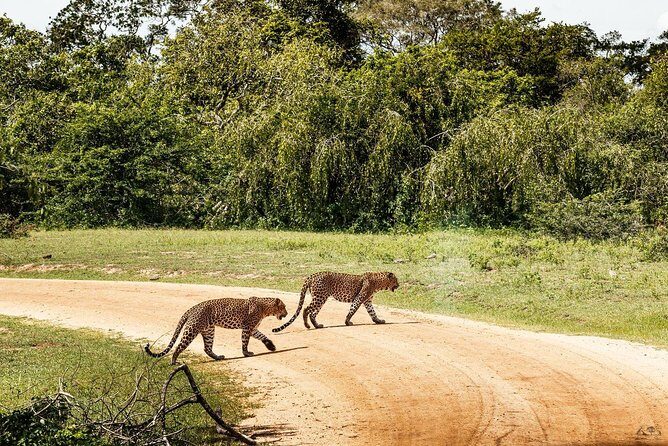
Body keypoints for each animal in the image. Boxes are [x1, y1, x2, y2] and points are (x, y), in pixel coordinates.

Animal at [145, 296, 288, 364]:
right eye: (284, 307)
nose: (286, 314)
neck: (265, 309)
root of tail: (192, 308)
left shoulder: (253, 329)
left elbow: (263, 336)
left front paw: (271, 346)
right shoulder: (247, 328)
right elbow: (245, 342)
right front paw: (246, 353)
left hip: (209, 331)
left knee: (207, 348)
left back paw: (218, 357)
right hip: (192, 329)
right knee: (179, 346)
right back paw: (174, 361)